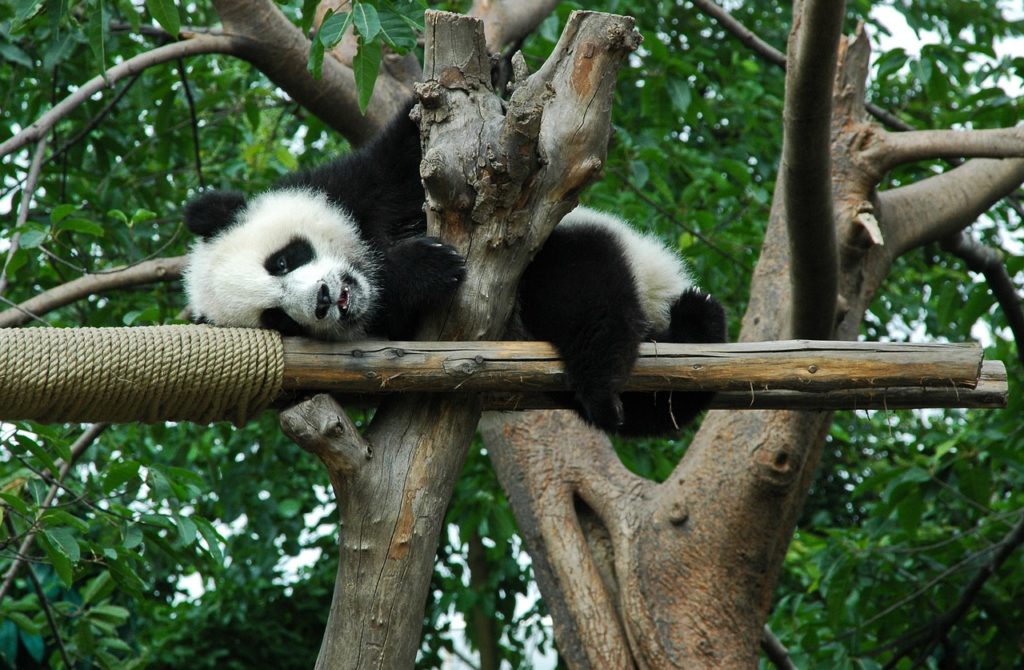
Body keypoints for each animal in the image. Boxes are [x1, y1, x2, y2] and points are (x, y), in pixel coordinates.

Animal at [182, 104, 726, 436]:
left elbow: (401, 160)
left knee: (581, 288)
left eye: (283, 260)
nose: (323, 299)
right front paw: (419, 268)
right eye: (279, 320)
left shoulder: (349, 189)